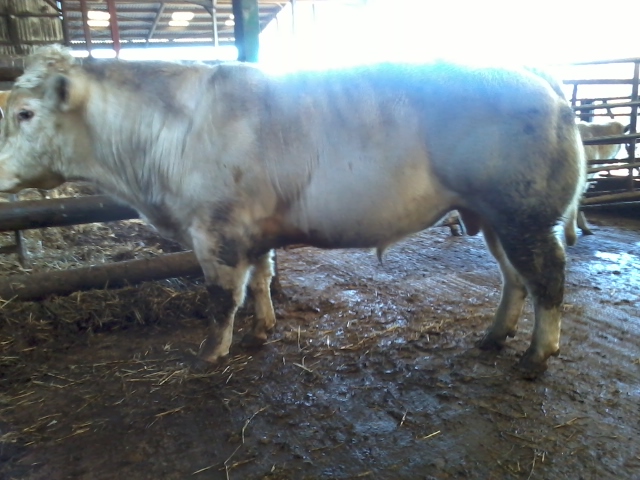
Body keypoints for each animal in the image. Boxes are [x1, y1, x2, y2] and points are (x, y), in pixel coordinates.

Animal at [0, 45, 585, 377]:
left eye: (24, 112)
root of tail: (540, 76)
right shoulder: (253, 229)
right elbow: (261, 278)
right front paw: (261, 331)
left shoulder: (215, 230)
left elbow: (221, 298)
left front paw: (208, 355)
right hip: (493, 217)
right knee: (515, 279)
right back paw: (494, 338)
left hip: (525, 214)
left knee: (548, 280)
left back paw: (536, 357)